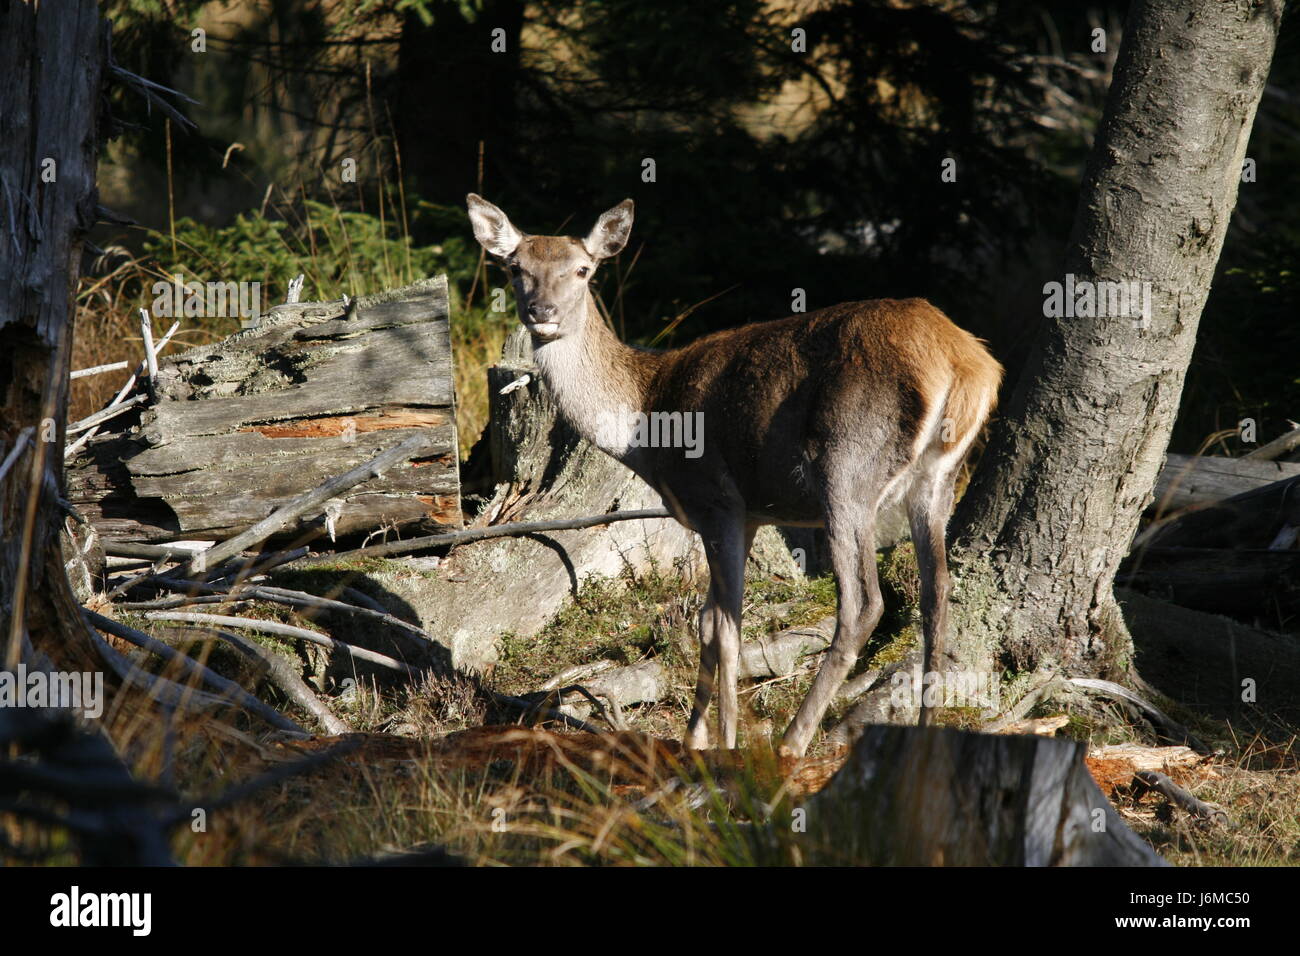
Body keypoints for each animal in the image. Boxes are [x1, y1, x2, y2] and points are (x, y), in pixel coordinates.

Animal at [467, 194, 1003, 757]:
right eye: (515, 267)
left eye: (583, 270)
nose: (541, 313)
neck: (645, 420)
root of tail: (966, 365)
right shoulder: (749, 515)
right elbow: (706, 622)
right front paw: (694, 738)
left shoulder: (715, 499)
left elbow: (726, 625)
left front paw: (723, 740)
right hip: (939, 478)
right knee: (937, 593)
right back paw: (924, 737)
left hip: (846, 464)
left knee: (864, 603)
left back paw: (792, 740)